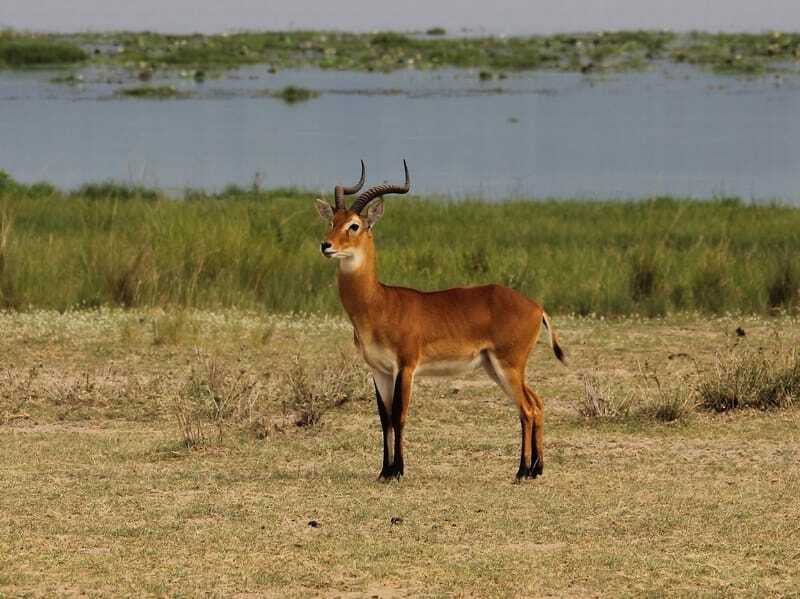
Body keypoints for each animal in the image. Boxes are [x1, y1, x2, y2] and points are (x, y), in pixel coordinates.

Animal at [316, 161, 564, 482]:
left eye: (354, 225)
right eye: (332, 221)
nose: (326, 245)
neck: (379, 303)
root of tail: (536, 307)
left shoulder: (406, 367)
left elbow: (400, 415)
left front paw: (398, 471)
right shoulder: (379, 370)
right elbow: (384, 419)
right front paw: (384, 471)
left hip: (508, 366)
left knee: (527, 410)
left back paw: (522, 471)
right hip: (496, 367)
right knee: (537, 403)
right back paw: (536, 469)